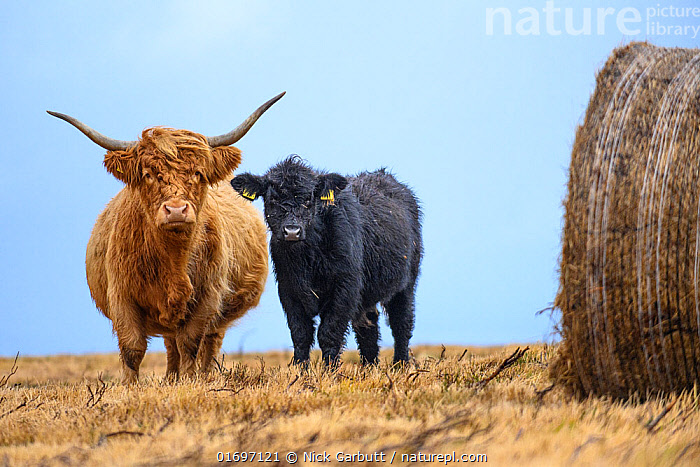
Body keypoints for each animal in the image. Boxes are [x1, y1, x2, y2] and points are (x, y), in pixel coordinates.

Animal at [48, 93, 284, 383]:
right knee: (171, 344)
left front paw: (190, 381)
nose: (176, 210)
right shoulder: (121, 296)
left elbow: (190, 343)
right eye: (148, 174)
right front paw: (130, 386)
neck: (173, 263)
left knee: (208, 343)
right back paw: (171, 377)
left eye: (198, 173)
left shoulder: (208, 297)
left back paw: (202, 375)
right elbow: (132, 348)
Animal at [231, 156, 422, 366]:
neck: (308, 258)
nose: (292, 231)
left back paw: (400, 366)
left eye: (309, 198)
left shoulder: (344, 289)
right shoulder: (288, 290)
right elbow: (300, 334)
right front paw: (300, 370)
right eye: (272, 198)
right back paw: (369, 367)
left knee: (401, 325)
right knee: (368, 329)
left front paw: (328, 371)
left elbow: (329, 334)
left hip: (406, 284)